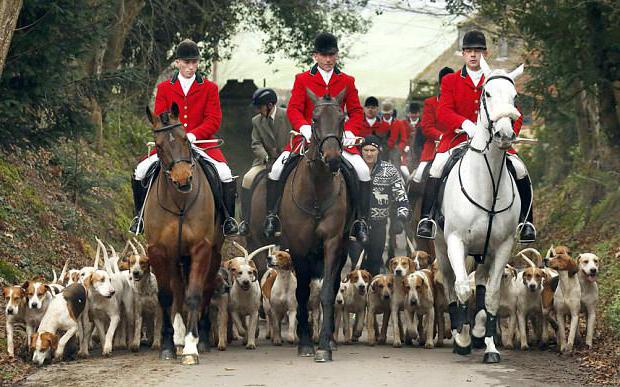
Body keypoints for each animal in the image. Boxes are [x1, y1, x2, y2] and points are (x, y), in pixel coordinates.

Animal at [143, 103, 223, 366]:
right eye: (158, 146)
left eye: (186, 139)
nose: (182, 180)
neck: (179, 201)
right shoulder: (158, 251)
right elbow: (167, 296)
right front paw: (169, 345)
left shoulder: (201, 249)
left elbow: (194, 295)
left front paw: (191, 347)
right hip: (175, 256)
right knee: (177, 289)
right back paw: (178, 336)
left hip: (213, 254)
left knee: (204, 288)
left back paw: (201, 338)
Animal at [434, 57, 524, 364]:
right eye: (487, 94)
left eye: (515, 97)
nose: (505, 134)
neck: (487, 182)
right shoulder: (455, 241)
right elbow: (462, 288)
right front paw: (461, 337)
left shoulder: (503, 245)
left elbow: (492, 295)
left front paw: (489, 345)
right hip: (441, 247)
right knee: (451, 284)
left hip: (485, 251)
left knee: (483, 284)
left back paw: (479, 331)